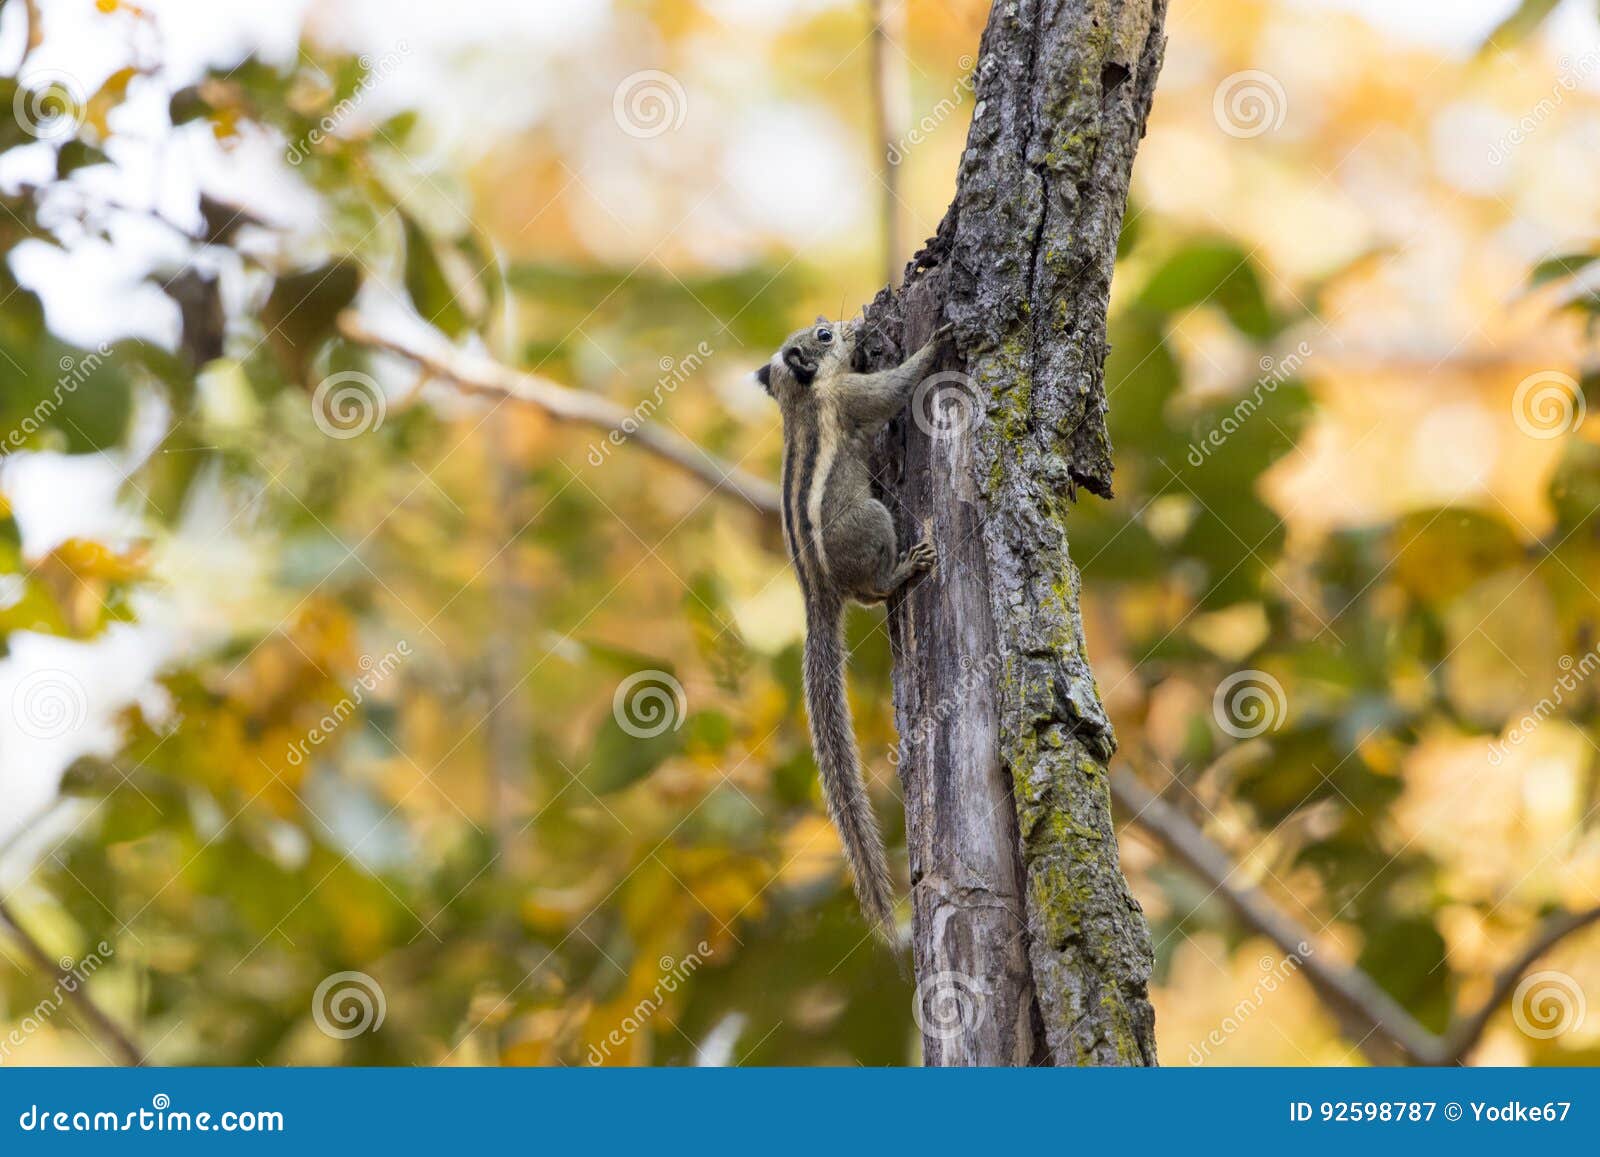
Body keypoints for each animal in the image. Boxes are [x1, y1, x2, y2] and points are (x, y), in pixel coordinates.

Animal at [756, 315, 951, 941]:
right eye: (822, 336)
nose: (848, 324)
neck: (803, 398)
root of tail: (816, 592)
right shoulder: (852, 397)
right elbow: (893, 389)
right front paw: (937, 342)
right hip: (874, 520)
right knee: (872, 591)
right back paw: (905, 570)